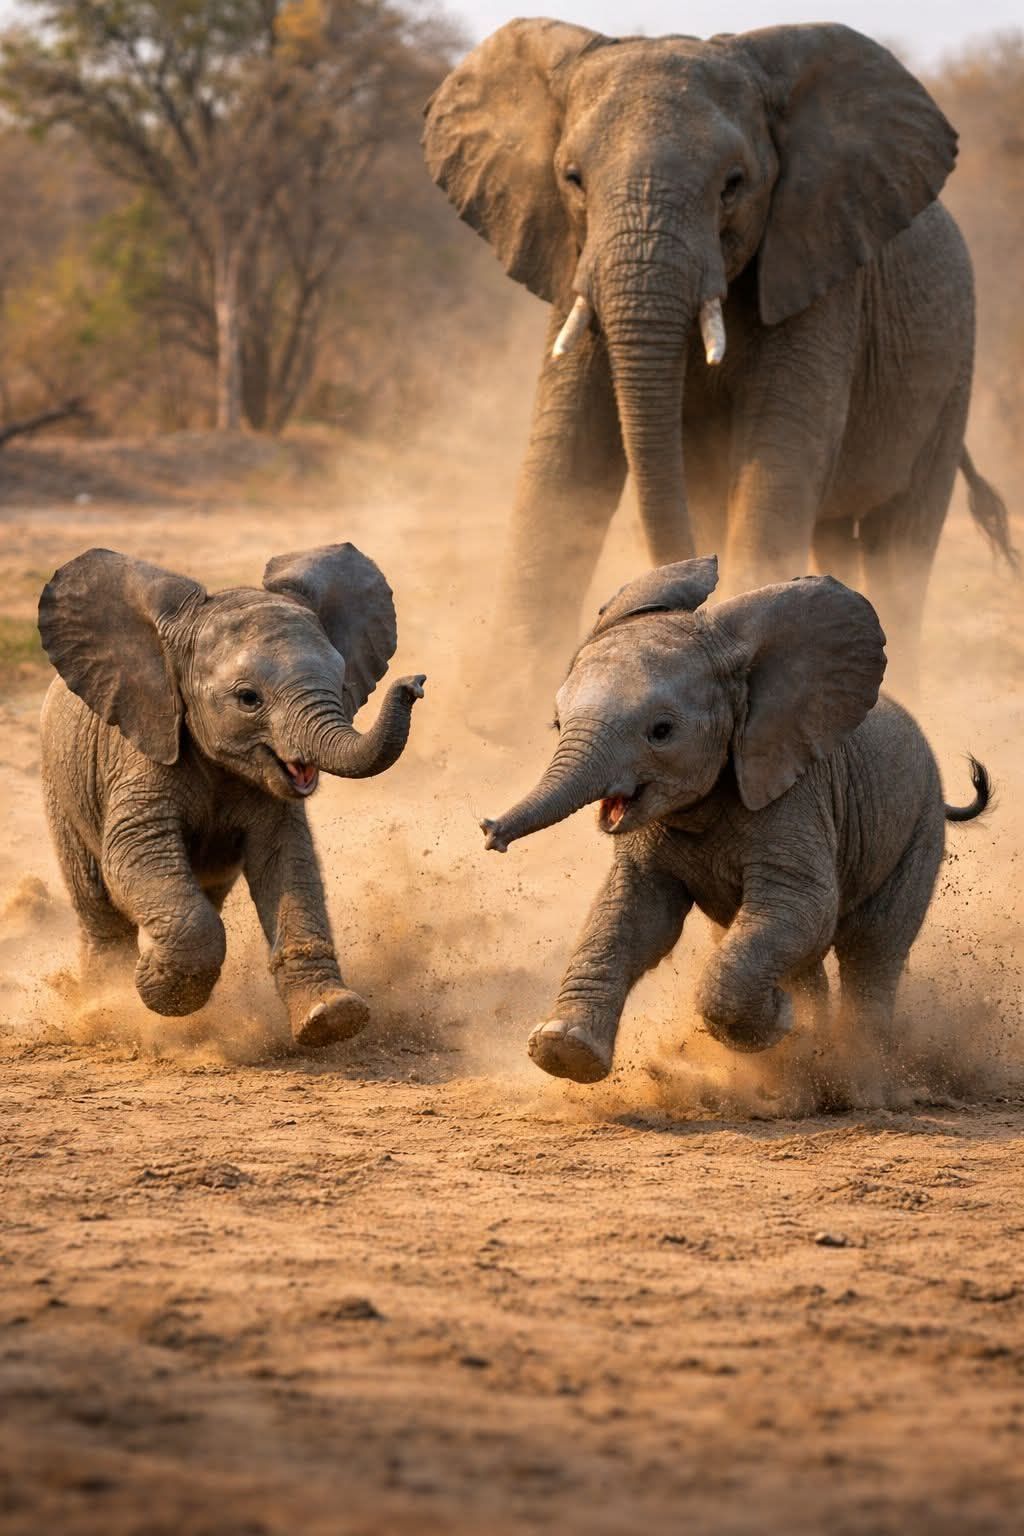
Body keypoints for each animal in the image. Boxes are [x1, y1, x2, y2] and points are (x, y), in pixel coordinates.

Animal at [37, 543, 426, 1048]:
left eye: (342, 683)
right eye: (248, 699)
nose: (415, 684)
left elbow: (289, 863)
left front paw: (333, 1017)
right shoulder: (140, 753)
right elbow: (133, 853)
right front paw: (156, 988)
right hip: (60, 781)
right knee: (98, 903)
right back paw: (106, 1009)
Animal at [424, 19, 1014, 715]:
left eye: (734, 183)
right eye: (572, 179)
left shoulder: (817, 273)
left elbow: (776, 464)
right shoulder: (574, 261)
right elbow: (568, 454)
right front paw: (498, 718)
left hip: (955, 367)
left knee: (903, 540)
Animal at [479, 557, 991, 1084]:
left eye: (661, 732)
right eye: (557, 725)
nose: (490, 832)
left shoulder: (795, 795)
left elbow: (803, 904)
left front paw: (777, 1024)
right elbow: (633, 914)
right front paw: (565, 1051)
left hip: (919, 827)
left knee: (872, 947)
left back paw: (856, 1068)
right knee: (799, 954)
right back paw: (809, 1041)